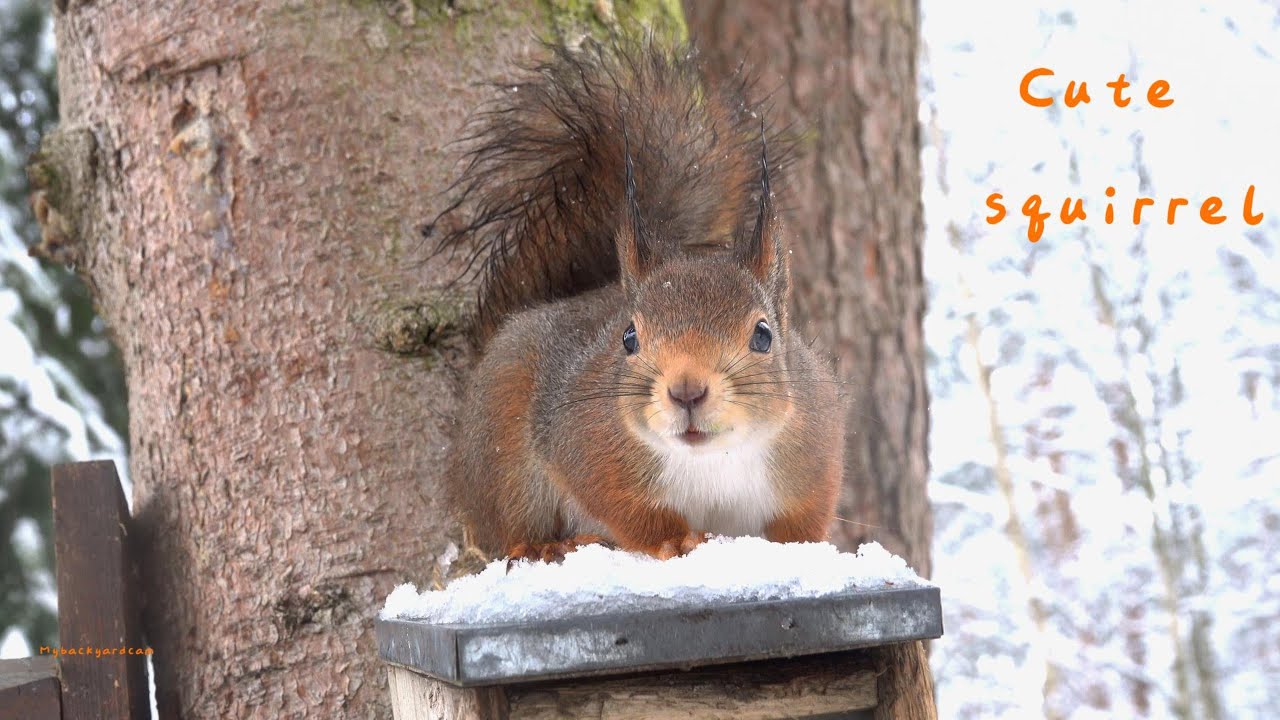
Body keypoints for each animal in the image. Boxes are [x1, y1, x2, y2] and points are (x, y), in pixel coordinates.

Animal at [431, 38, 845, 562]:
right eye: (629, 337)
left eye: (764, 335)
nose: (686, 391)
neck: (713, 459)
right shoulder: (584, 439)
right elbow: (628, 510)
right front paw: (676, 537)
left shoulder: (814, 451)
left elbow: (804, 520)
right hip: (503, 450)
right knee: (506, 534)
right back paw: (546, 546)